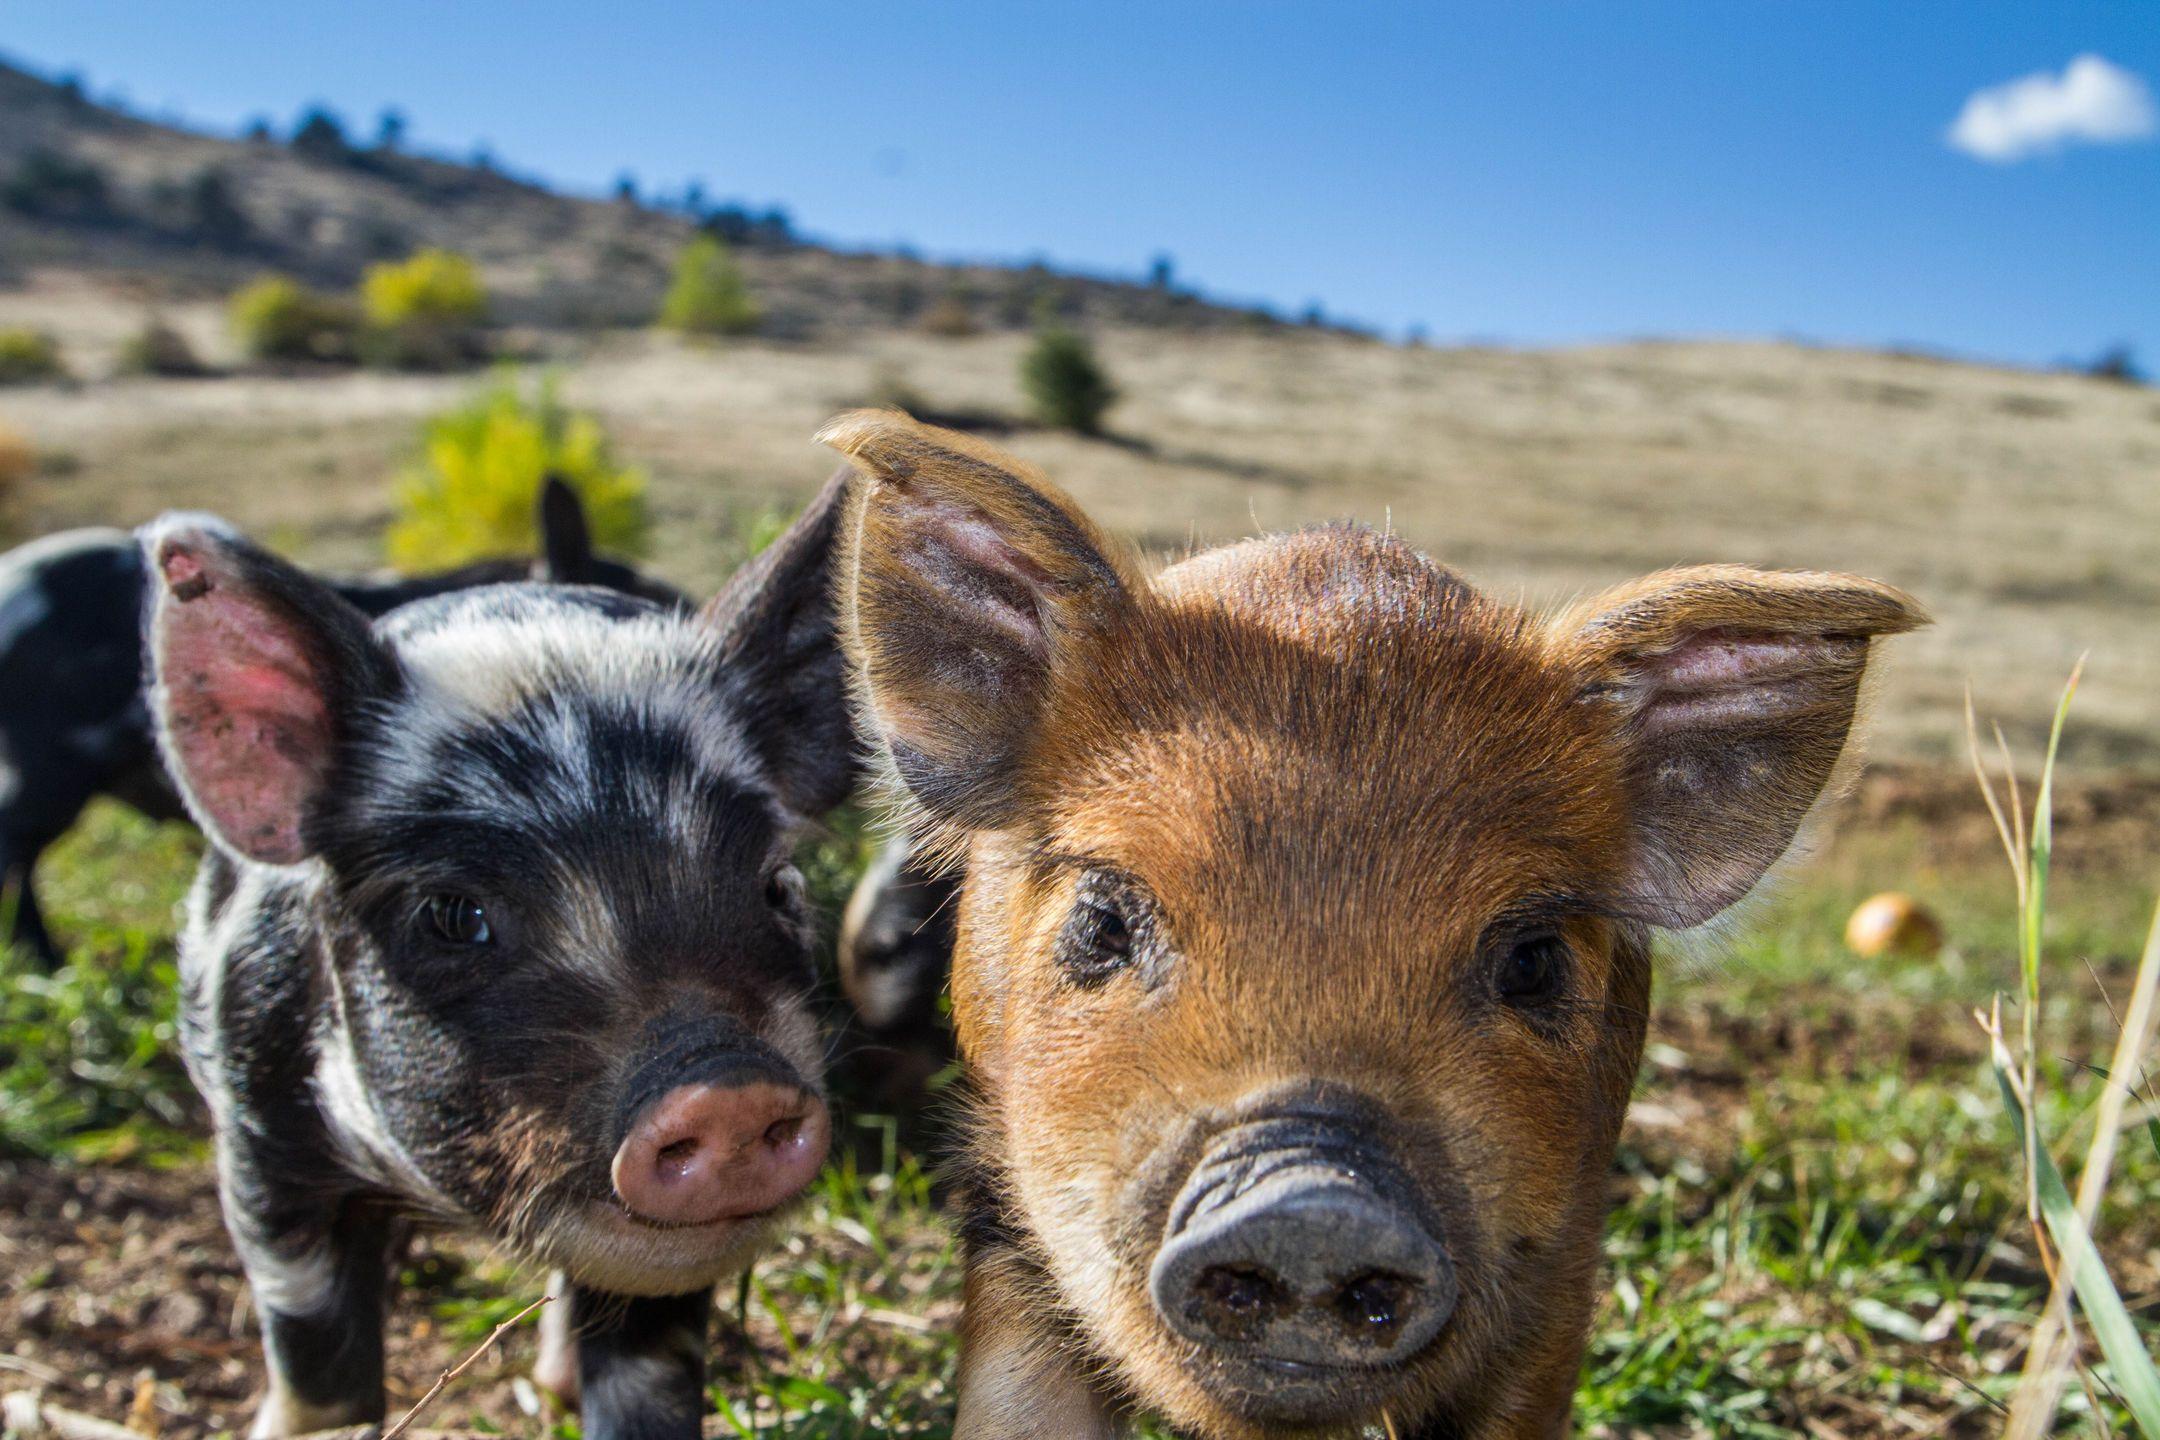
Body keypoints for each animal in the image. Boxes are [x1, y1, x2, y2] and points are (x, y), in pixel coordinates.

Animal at [141, 473, 852, 1440]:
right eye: (452, 915)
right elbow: (316, 1352)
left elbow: (649, 1371)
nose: (728, 1084)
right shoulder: (260, 1140)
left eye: (777, 884)